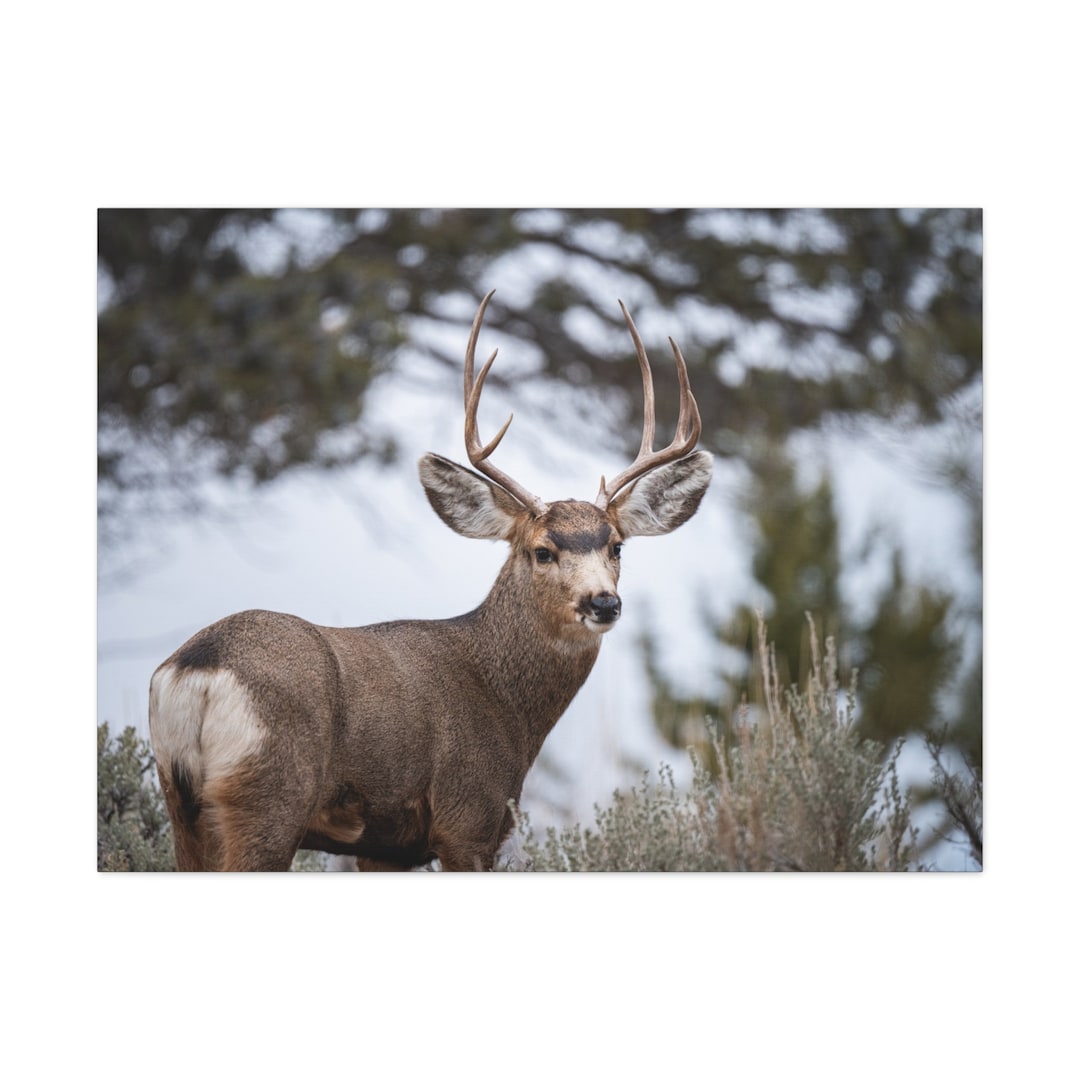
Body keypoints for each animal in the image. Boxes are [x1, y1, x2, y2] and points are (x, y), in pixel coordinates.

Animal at [148, 290, 713, 871]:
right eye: (542, 551)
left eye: (616, 546)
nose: (603, 603)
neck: (506, 703)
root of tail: (195, 669)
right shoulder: (469, 817)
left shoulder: (385, 846)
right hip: (270, 797)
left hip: (183, 807)